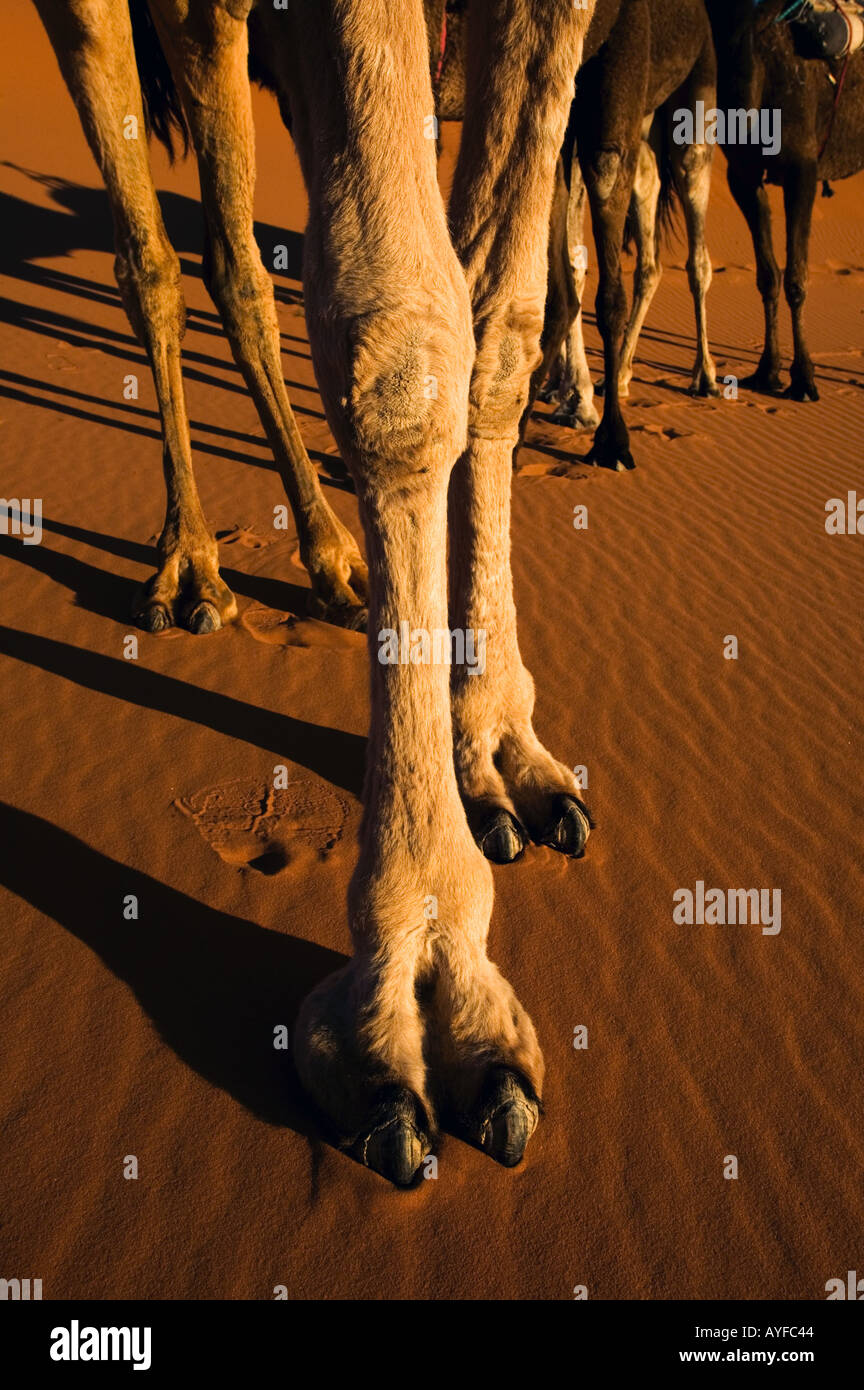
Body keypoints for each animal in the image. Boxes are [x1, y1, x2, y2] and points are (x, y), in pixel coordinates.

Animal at [35, 0, 596, 1186]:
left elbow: (501, 311)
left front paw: (499, 752)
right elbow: (406, 342)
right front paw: (426, 987)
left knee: (228, 255)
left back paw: (330, 560)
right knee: (157, 256)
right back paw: (193, 567)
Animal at [706, 0, 864, 400]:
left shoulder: (802, 168)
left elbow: (796, 276)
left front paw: (804, 379)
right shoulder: (742, 176)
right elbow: (768, 275)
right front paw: (767, 371)